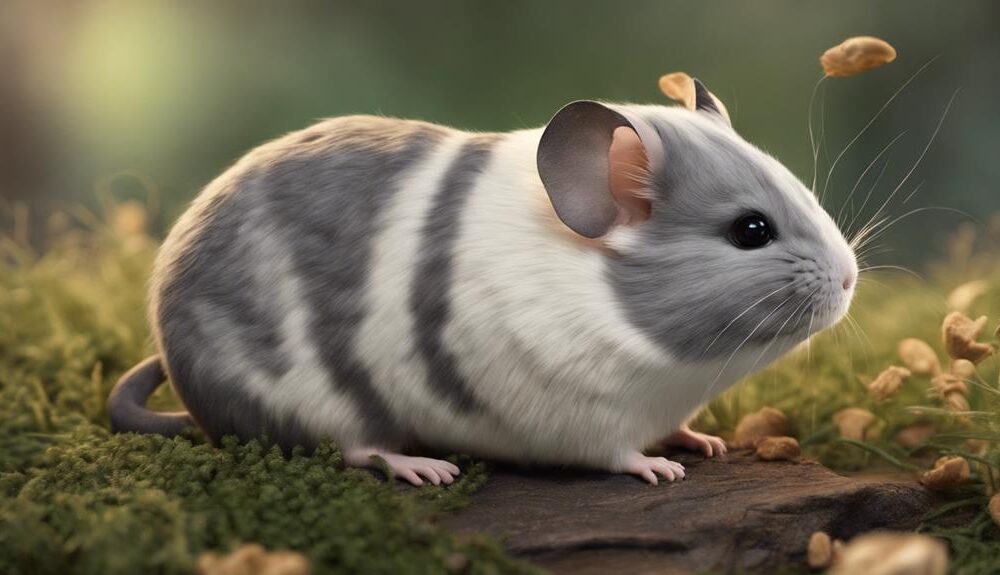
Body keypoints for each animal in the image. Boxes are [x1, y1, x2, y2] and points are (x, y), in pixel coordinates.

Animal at [108, 79, 857, 486]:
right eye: (751, 230)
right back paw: (420, 466)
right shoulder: (582, 417)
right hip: (319, 407)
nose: (852, 279)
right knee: (354, 447)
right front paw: (659, 469)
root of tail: (197, 403)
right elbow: (616, 454)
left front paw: (703, 442)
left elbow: (679, 429)